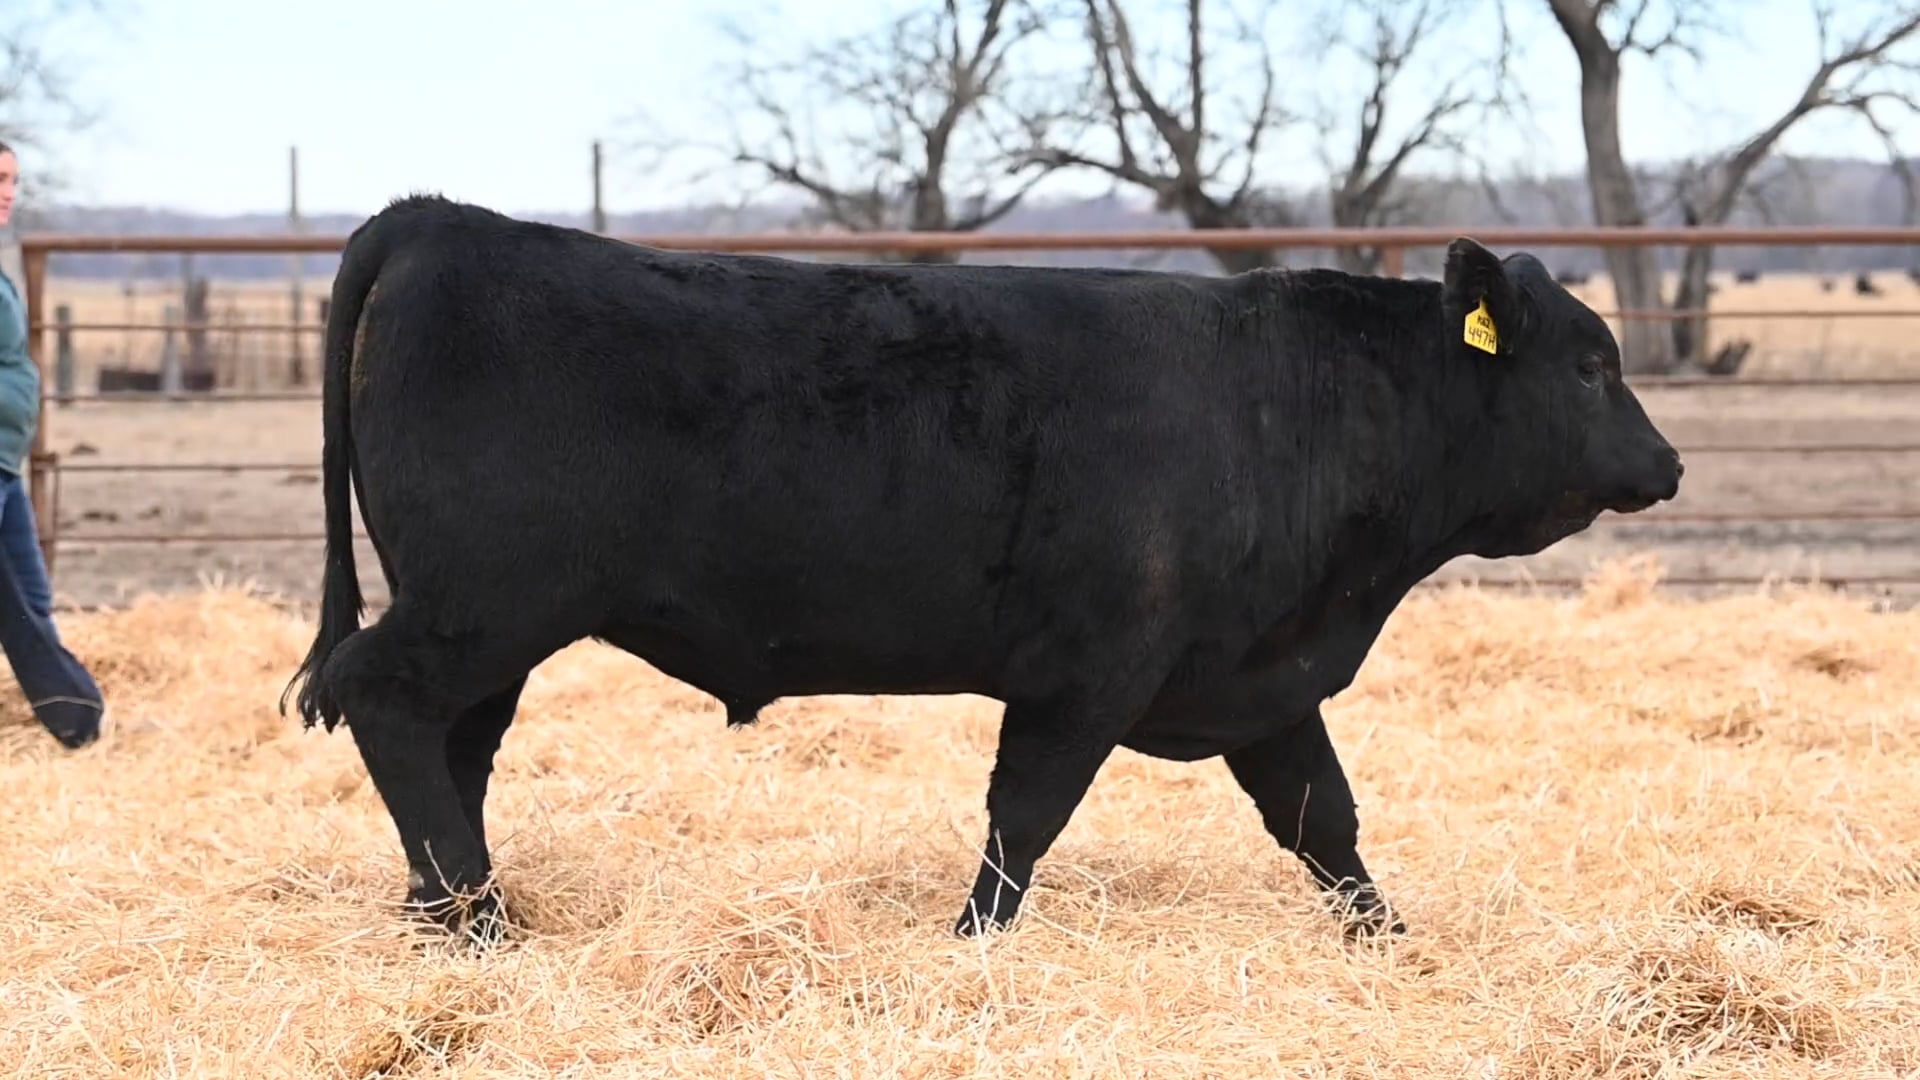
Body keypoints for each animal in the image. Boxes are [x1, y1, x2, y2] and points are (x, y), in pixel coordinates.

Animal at [281, 195, 1683, 947]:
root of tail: (442, 220)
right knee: (384, 700)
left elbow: (1324, 822)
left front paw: (1392, 945)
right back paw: (475, 923)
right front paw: (970, 949)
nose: (1667, 464)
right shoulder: (1089, 673)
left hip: (492, 631)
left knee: (452, 754)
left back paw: (449, 911)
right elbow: (1025, 822)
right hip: (478, 608)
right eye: (1588, 366)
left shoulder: (1262, 679)